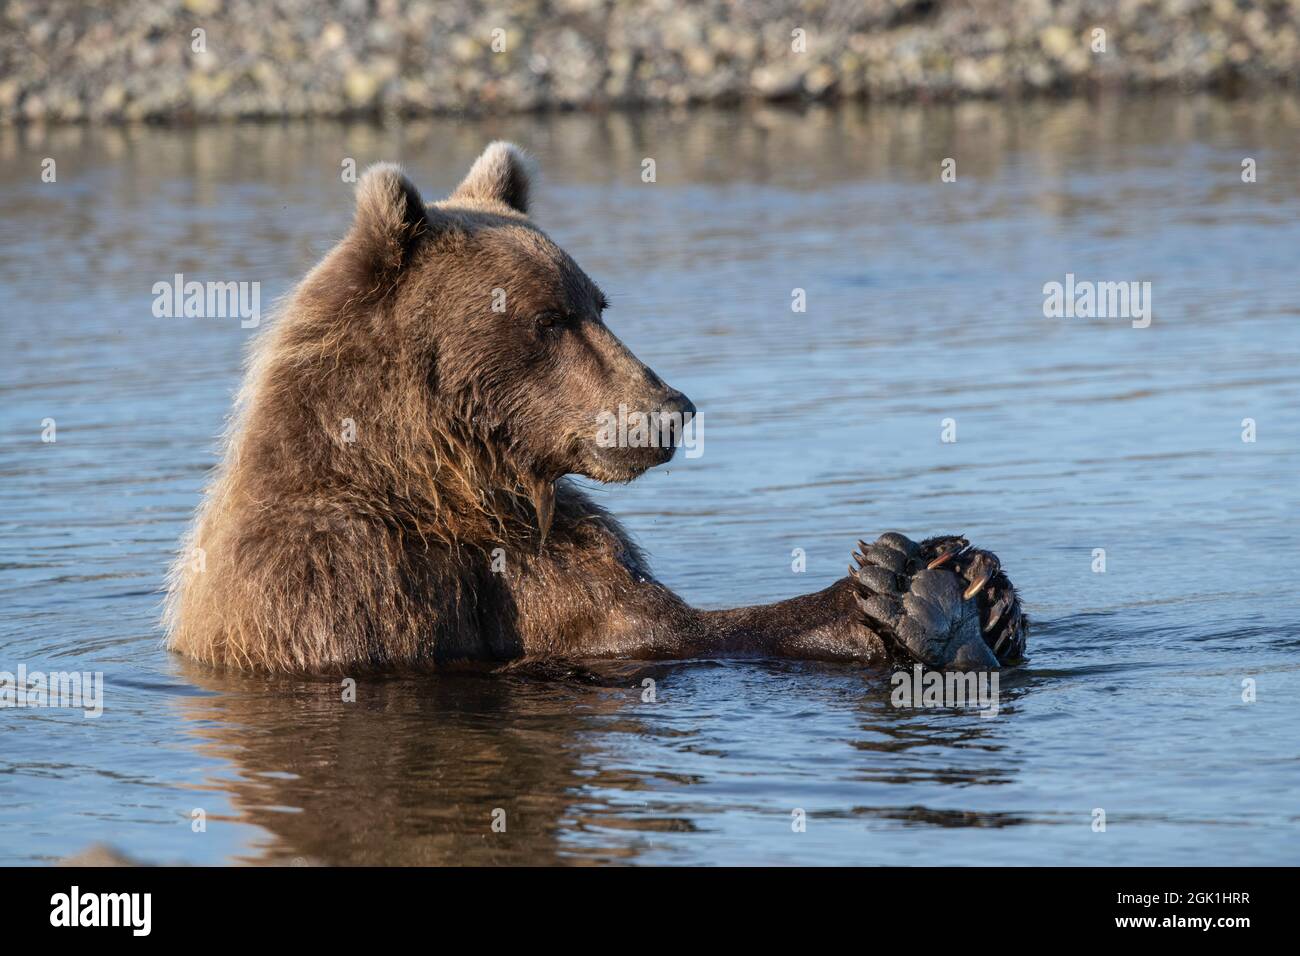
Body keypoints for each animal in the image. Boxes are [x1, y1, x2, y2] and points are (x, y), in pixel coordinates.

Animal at [165, 142, 1027, 674]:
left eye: (598, 303)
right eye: (549, 318)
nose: (670, 407)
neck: (434, 481)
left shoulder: (551, 550)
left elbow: (660, 624)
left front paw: (960, 586)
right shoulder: (334, 582)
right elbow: (676, 635)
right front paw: (913, 586)